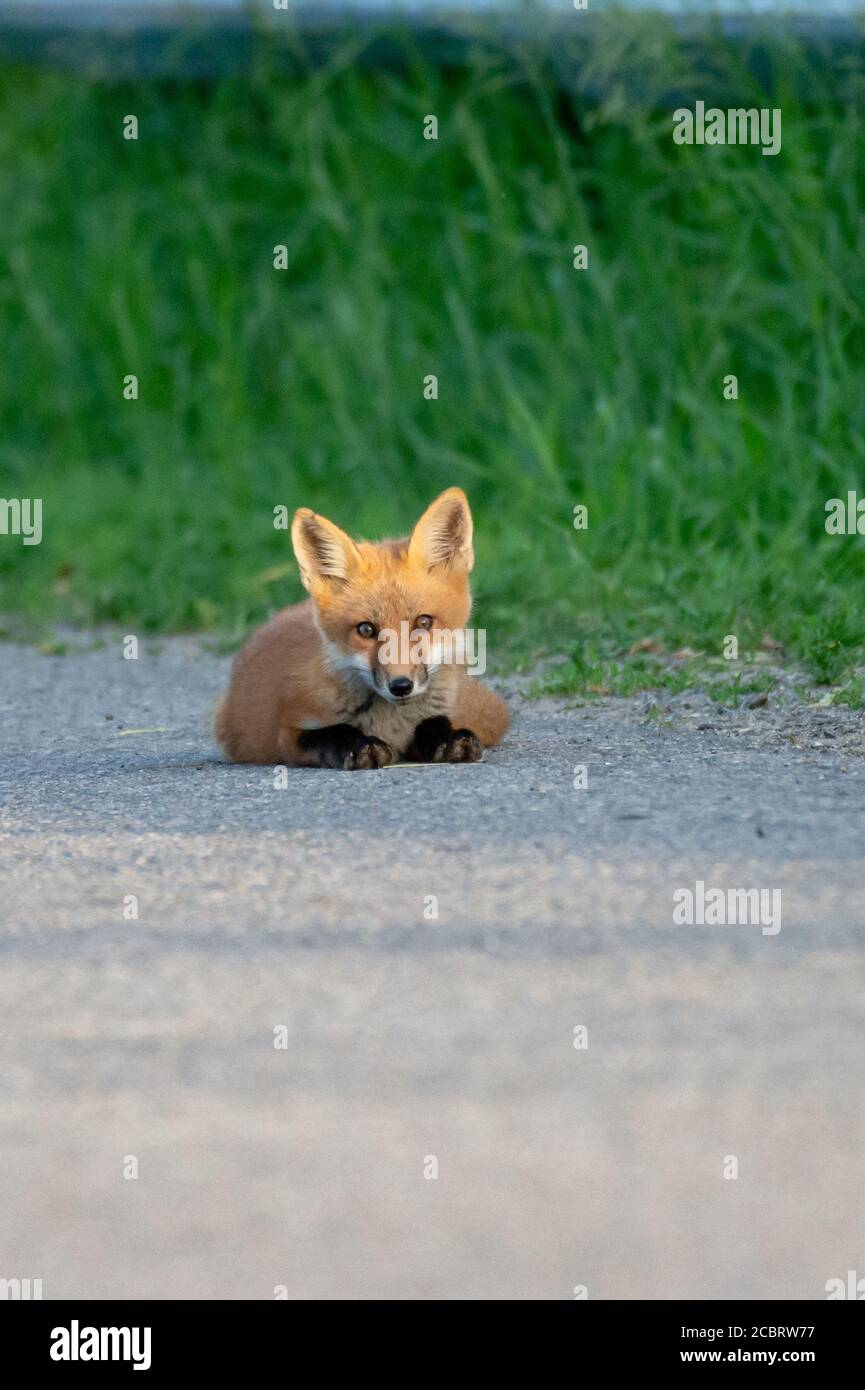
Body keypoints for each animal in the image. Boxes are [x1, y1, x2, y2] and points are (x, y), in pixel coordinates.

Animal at [214, 487, 509, 769]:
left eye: (423, 623)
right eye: (366, 630)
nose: (401, 686)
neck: (393, 724)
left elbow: (433, 722)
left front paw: (448, 738)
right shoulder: (288, 732)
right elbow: (335, 731)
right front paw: (361, 745)